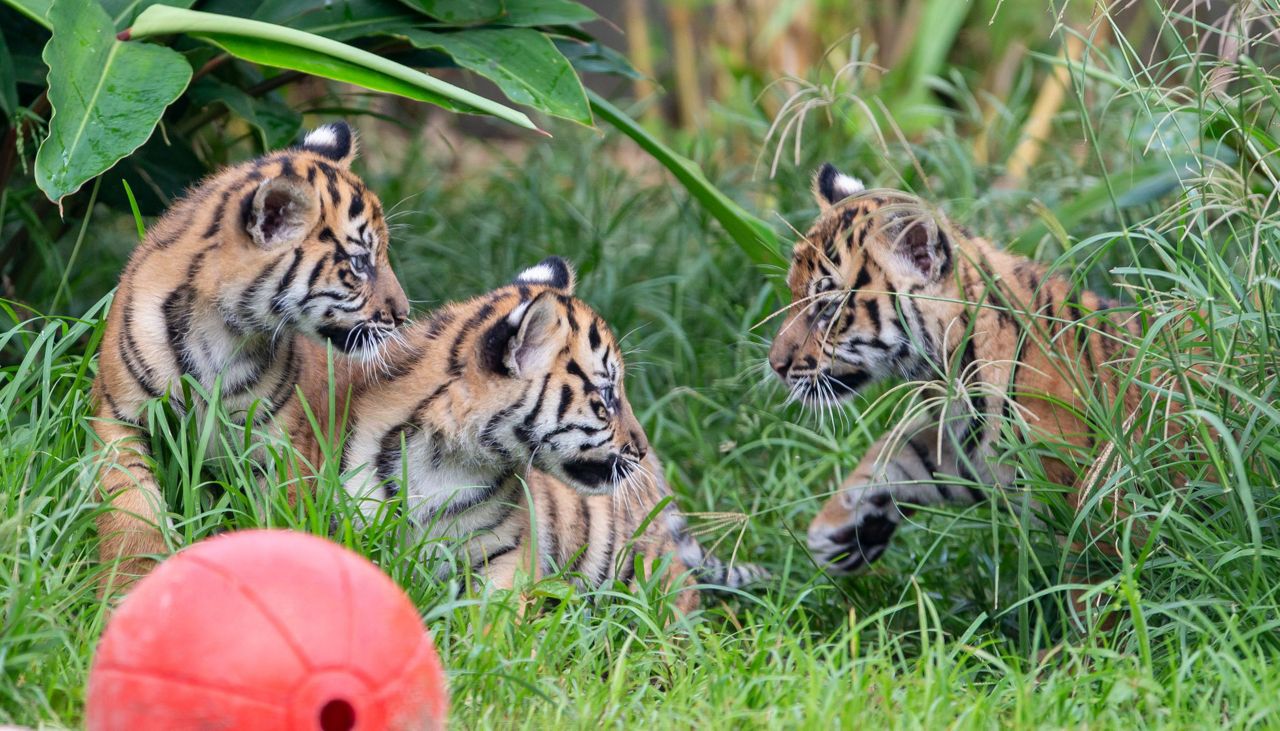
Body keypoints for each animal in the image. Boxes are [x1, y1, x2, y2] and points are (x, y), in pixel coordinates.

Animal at [91, 122, 409, 586]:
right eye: (358, 263)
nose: (403, 315)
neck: (222, 331)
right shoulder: (119, 416)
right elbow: (129, 504)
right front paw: (128, 579)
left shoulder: (280, 445)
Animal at [769, 163, 1143, 576]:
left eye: (827, 308)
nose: (775, 364)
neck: (947, 370)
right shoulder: (971, 452)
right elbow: (901, 449)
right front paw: (838, 530)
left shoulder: (1089, 497)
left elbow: (1096, 574)